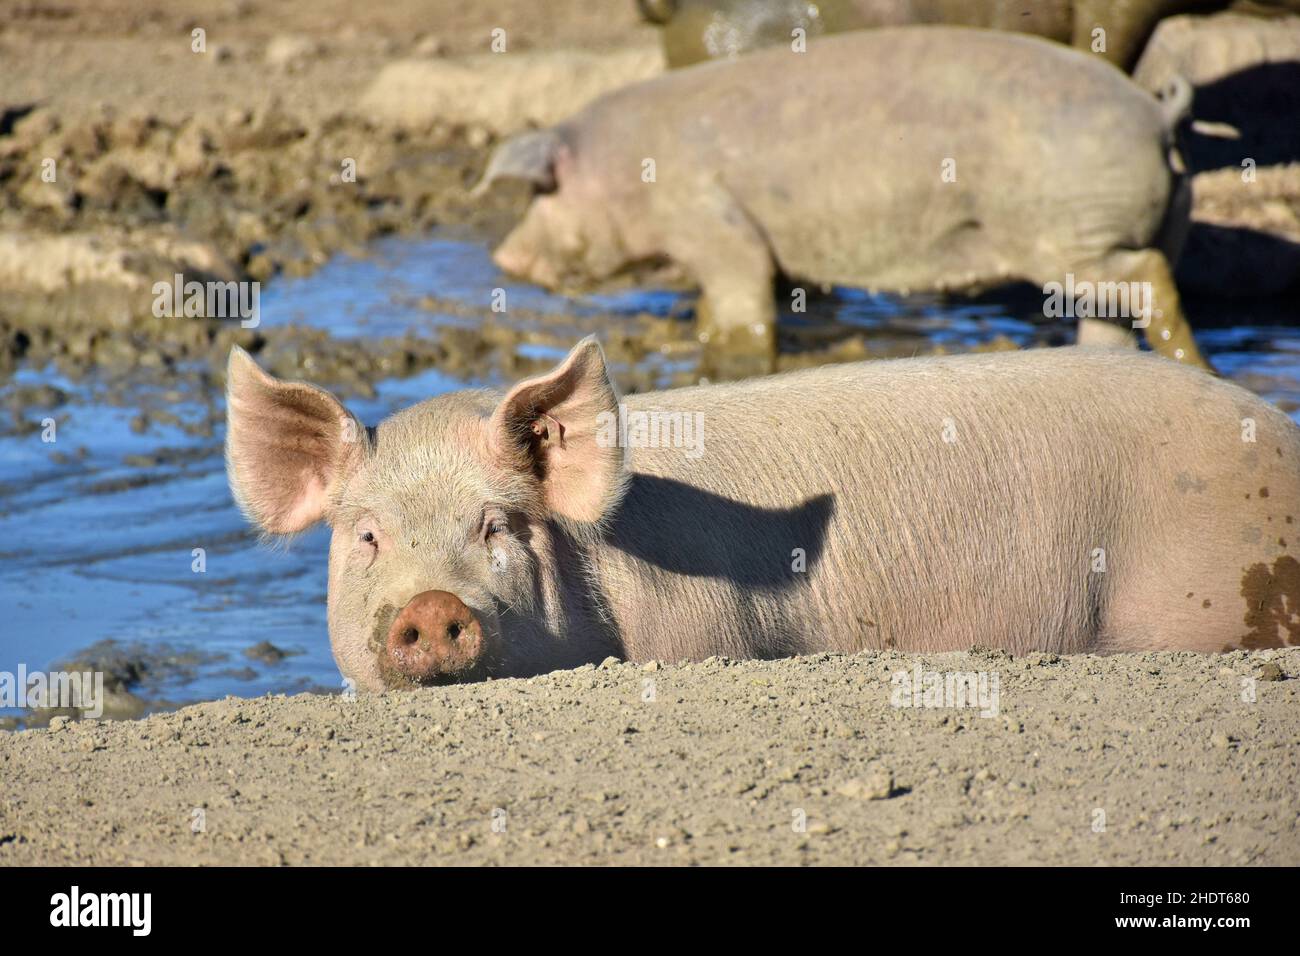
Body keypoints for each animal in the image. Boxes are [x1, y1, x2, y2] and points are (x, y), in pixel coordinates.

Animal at [477, 28, 1212, 373]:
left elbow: (745, 300)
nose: (503, 256)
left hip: (1070, 231)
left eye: (543, 191)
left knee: (1148, 278)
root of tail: (1155, 111)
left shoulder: (713, 222)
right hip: (1147, 222)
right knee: (1114, 310)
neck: (631, 170)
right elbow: (716, 308)